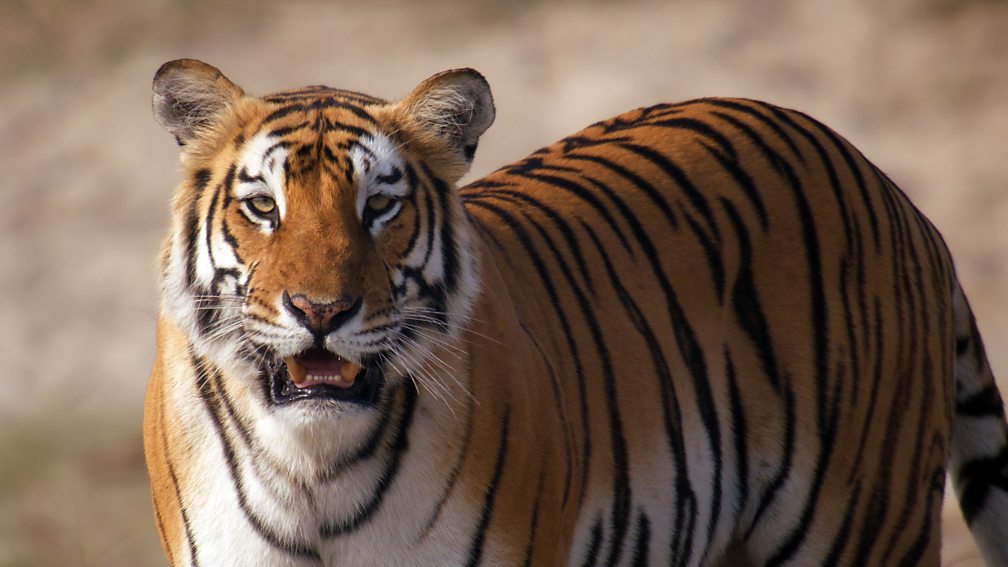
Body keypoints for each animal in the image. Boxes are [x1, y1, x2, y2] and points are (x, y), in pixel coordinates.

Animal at [143, 57, 1008, 566]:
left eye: (379, 206)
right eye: (263, 206)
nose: (321, 310)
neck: (314, 467)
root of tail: (894, 192)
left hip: (863, 527)